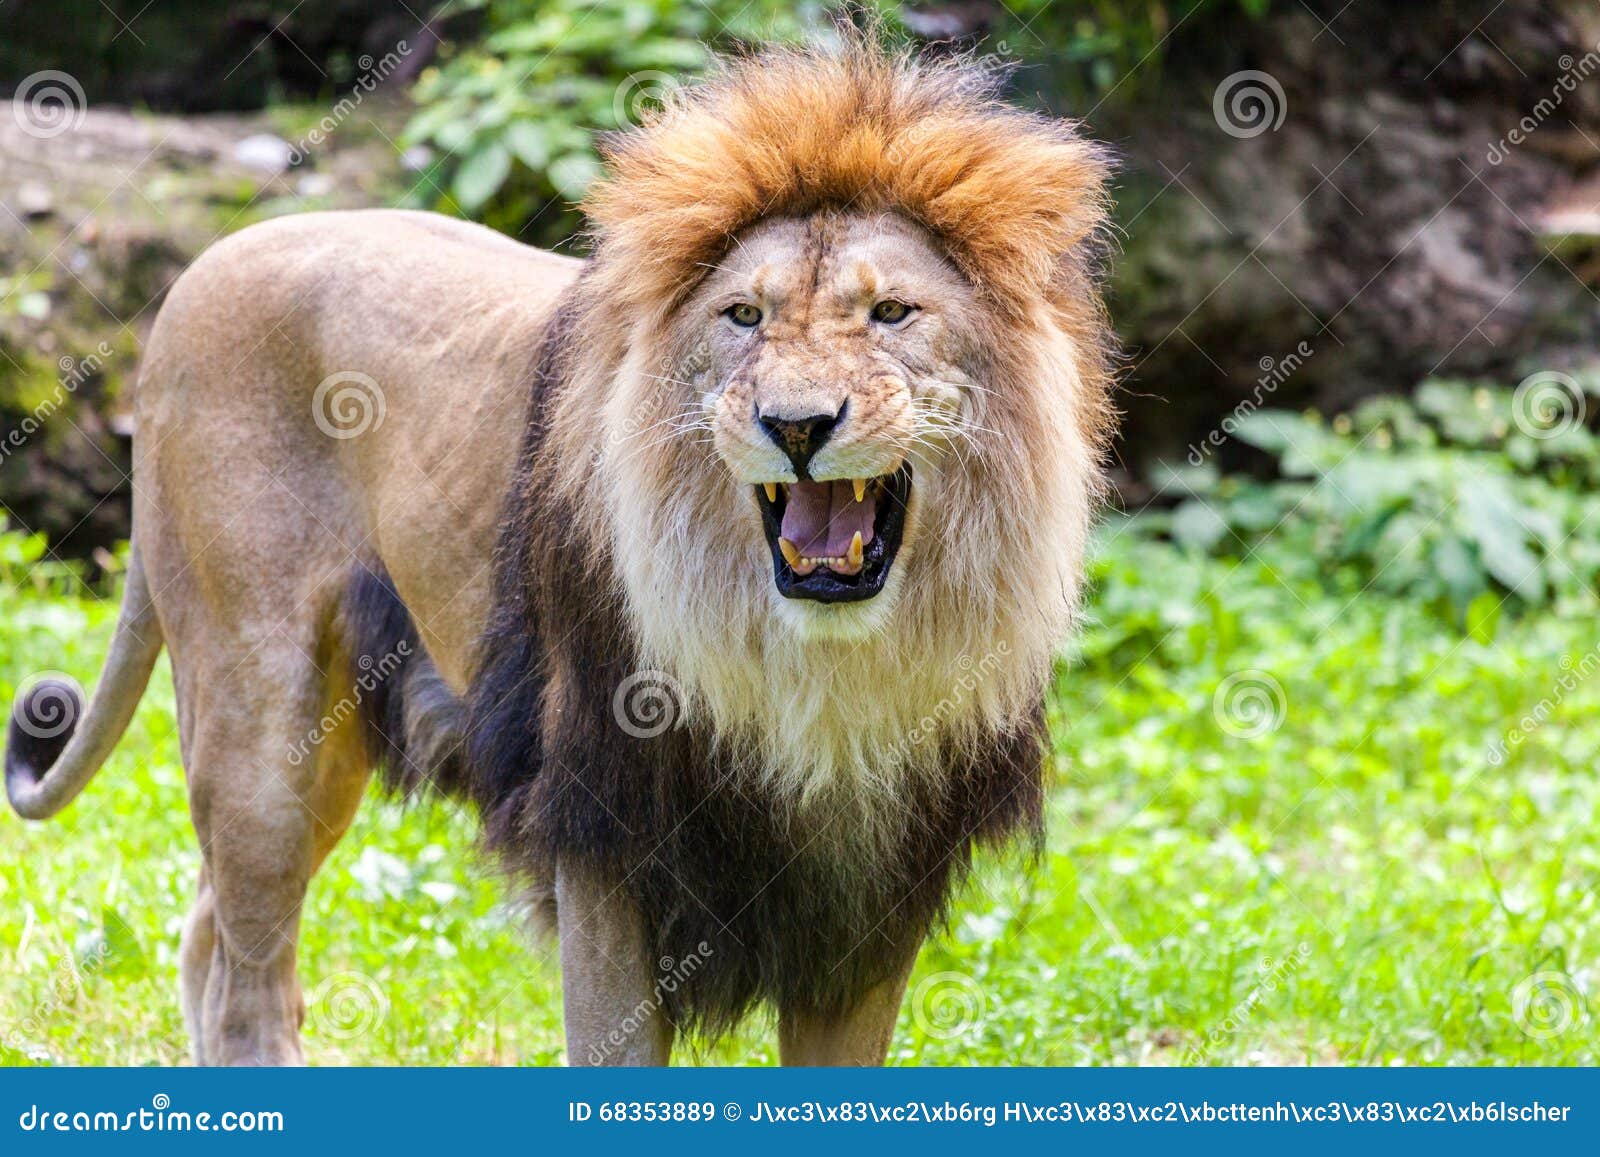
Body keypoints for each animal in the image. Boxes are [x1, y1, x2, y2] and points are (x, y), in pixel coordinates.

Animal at [4, 37, 1113, 1065]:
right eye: (742, 315)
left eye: (892, 312)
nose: (796, 425)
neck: (815, 670)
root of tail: (198, 272)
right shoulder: (604, 828)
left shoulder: (873, 892)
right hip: (256, 720)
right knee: (249, 977)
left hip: (332, 735)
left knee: (211, 936)